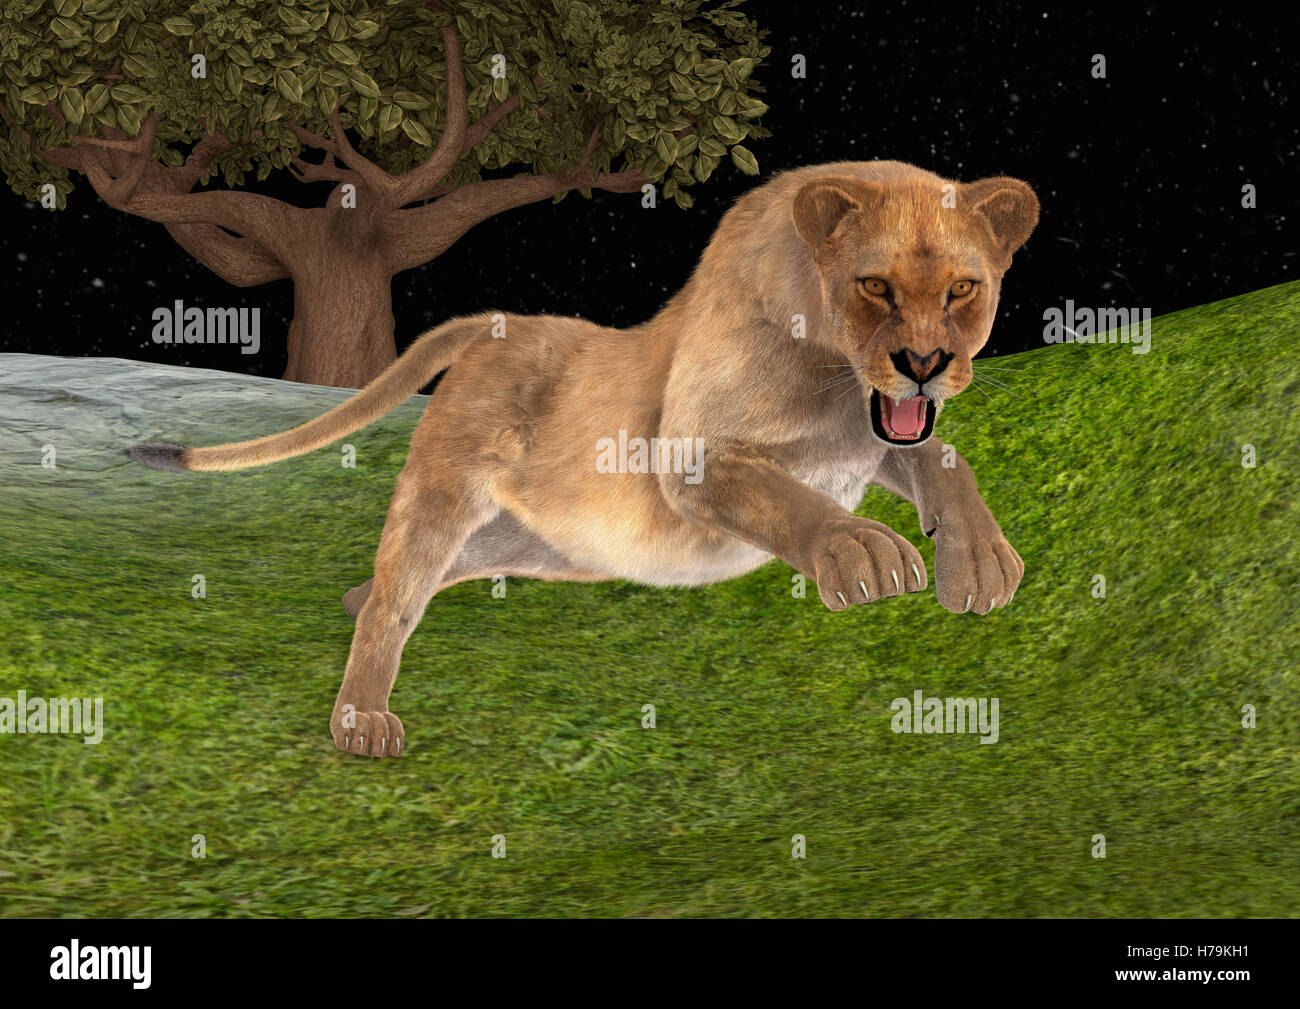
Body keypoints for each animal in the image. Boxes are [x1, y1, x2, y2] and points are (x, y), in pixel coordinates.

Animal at [129, 160, 1038, 759]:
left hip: (543, 543)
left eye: (962, 288)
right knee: (398, 598)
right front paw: (862, 551)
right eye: (875, 286)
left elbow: (943, 457)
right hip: (444, 495)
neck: (841, 380)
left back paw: (353, 601)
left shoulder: (872, 438)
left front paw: (982, 559)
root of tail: (498, 324)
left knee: (422, 580)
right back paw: (361, 717)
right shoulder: (689, 455)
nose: (921, 363)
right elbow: (792, 497)